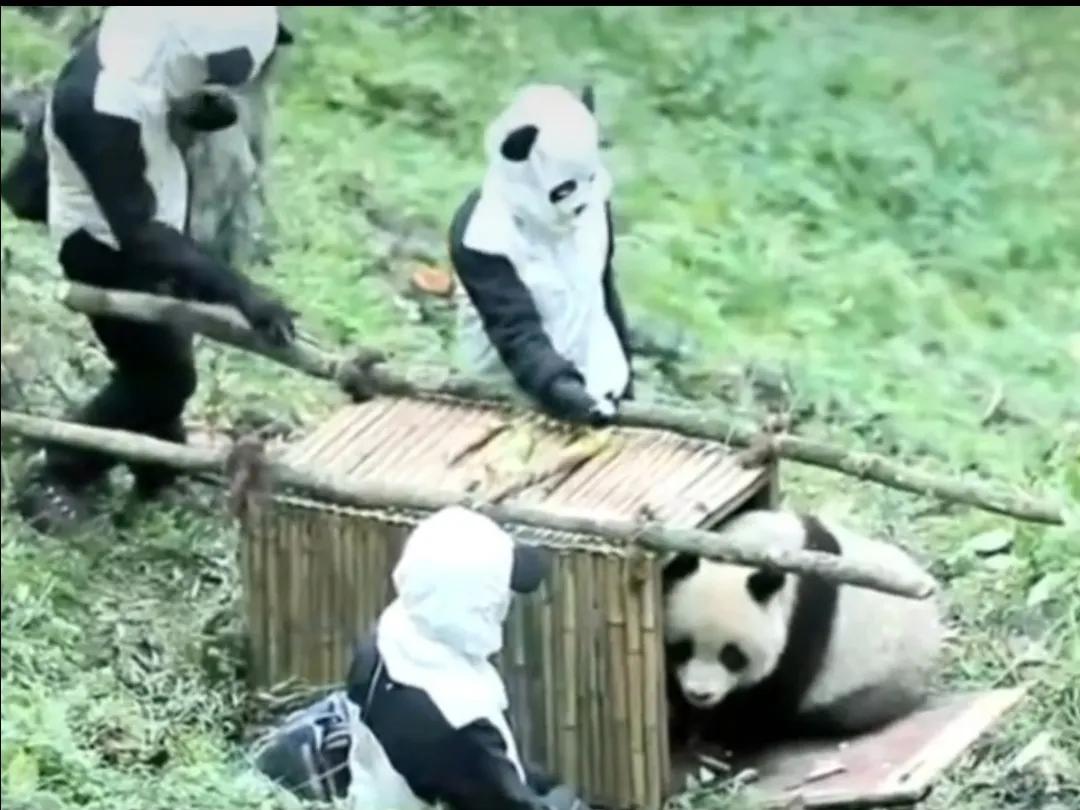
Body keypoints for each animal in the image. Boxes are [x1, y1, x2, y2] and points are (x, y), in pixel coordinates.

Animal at [447, 83, 634, 427]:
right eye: (565, 187)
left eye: (591, 177)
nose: (582, 206)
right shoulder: (478, 241)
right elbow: (516, 322)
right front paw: (571, 394)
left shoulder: (602, 217)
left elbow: (606, 288)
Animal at [661, 508, 944, 754]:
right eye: (683, 648)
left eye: (732, 656)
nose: (699, 694)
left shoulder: (804, 621)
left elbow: (768, 705)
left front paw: (715, 731)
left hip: (876, 683)